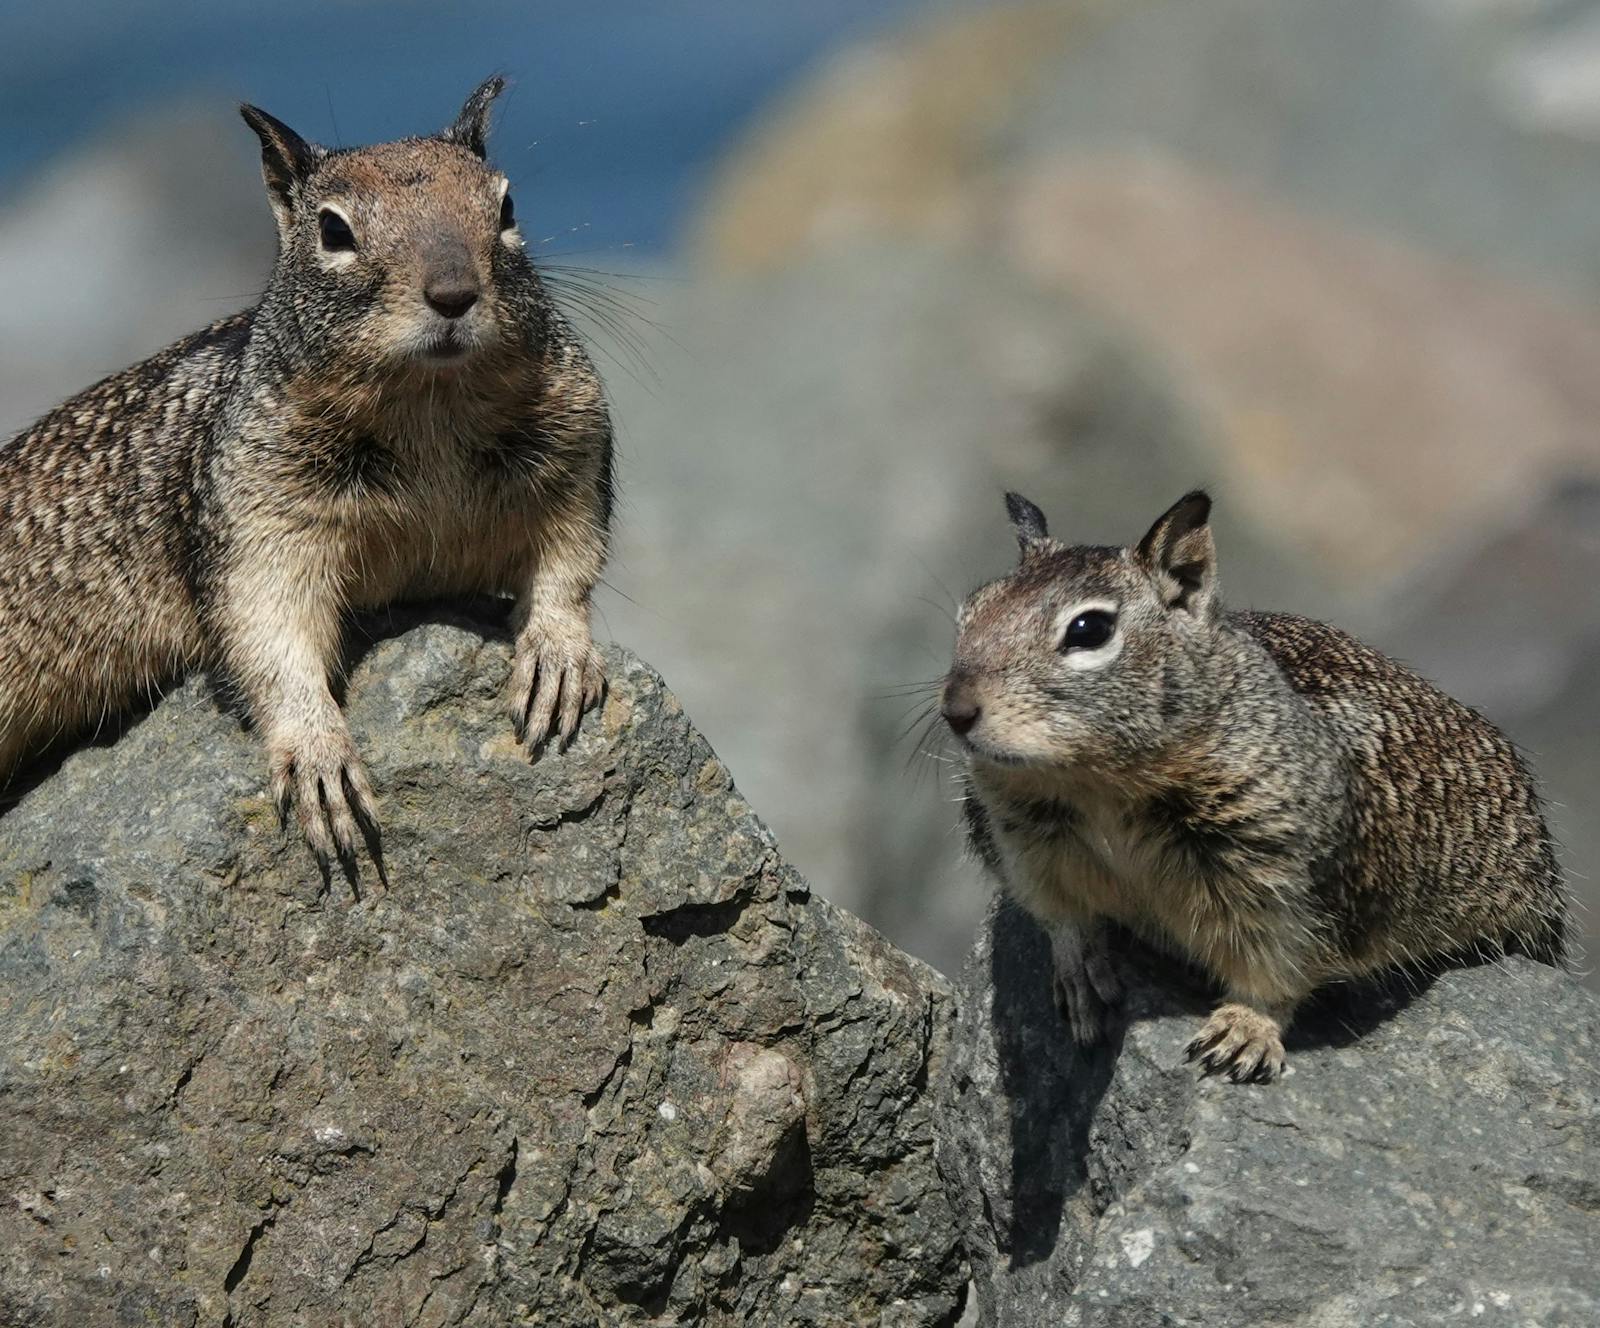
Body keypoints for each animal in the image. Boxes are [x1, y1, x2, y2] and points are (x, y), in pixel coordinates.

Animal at [0, 77, 613, 867]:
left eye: (505, 208)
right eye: (334, 231)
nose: (453, 293)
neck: (431, 410)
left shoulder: (574, 451)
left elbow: (570, 563)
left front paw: (557, 658)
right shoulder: (256, 515)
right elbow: (269, 631)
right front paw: (321, 757)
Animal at [943, 490, 1567, 1082]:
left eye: (1089, 629)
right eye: (968, 612)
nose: (955, 711)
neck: (1099, 784)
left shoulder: (1285, 881)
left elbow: (1276, 968)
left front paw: (1245, 1030)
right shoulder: (1024, 841)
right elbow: (1061, 915)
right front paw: (1078, 971)